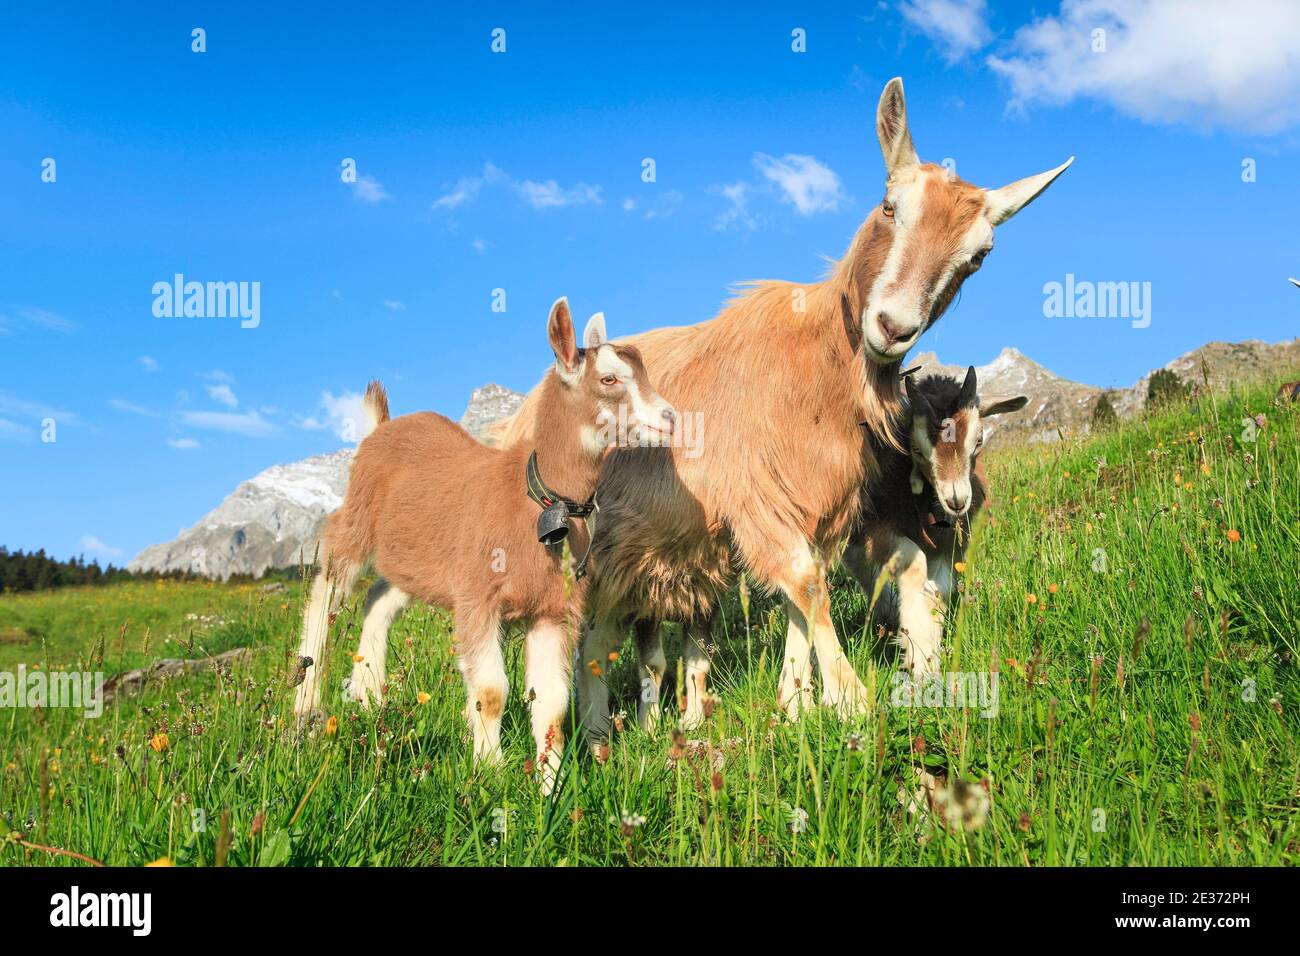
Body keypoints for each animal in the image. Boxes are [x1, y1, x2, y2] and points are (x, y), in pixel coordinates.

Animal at [291, 298, 675, 792]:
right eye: (608, 379)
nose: (671, 418)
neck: (532, 497)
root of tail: (382, 427)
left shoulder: (552, 610)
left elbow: (552, 701)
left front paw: (550, 785)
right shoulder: (479, 596)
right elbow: (491, 692)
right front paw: (489, 771)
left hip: (417, 559)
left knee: (378, 597)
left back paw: (368, 692)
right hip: (357, 521)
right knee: (328, 588)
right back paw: (307, 704)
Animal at [496, 78, 1072, 739]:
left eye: (978, 256)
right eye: (889, 206)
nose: (892, 327)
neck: (816, 367)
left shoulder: (817, 507)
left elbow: (803, 594)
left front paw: (795, 700)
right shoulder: (757, 497)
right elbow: (805, 584)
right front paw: (848, 699)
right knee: (590, 640)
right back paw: (592, 732)